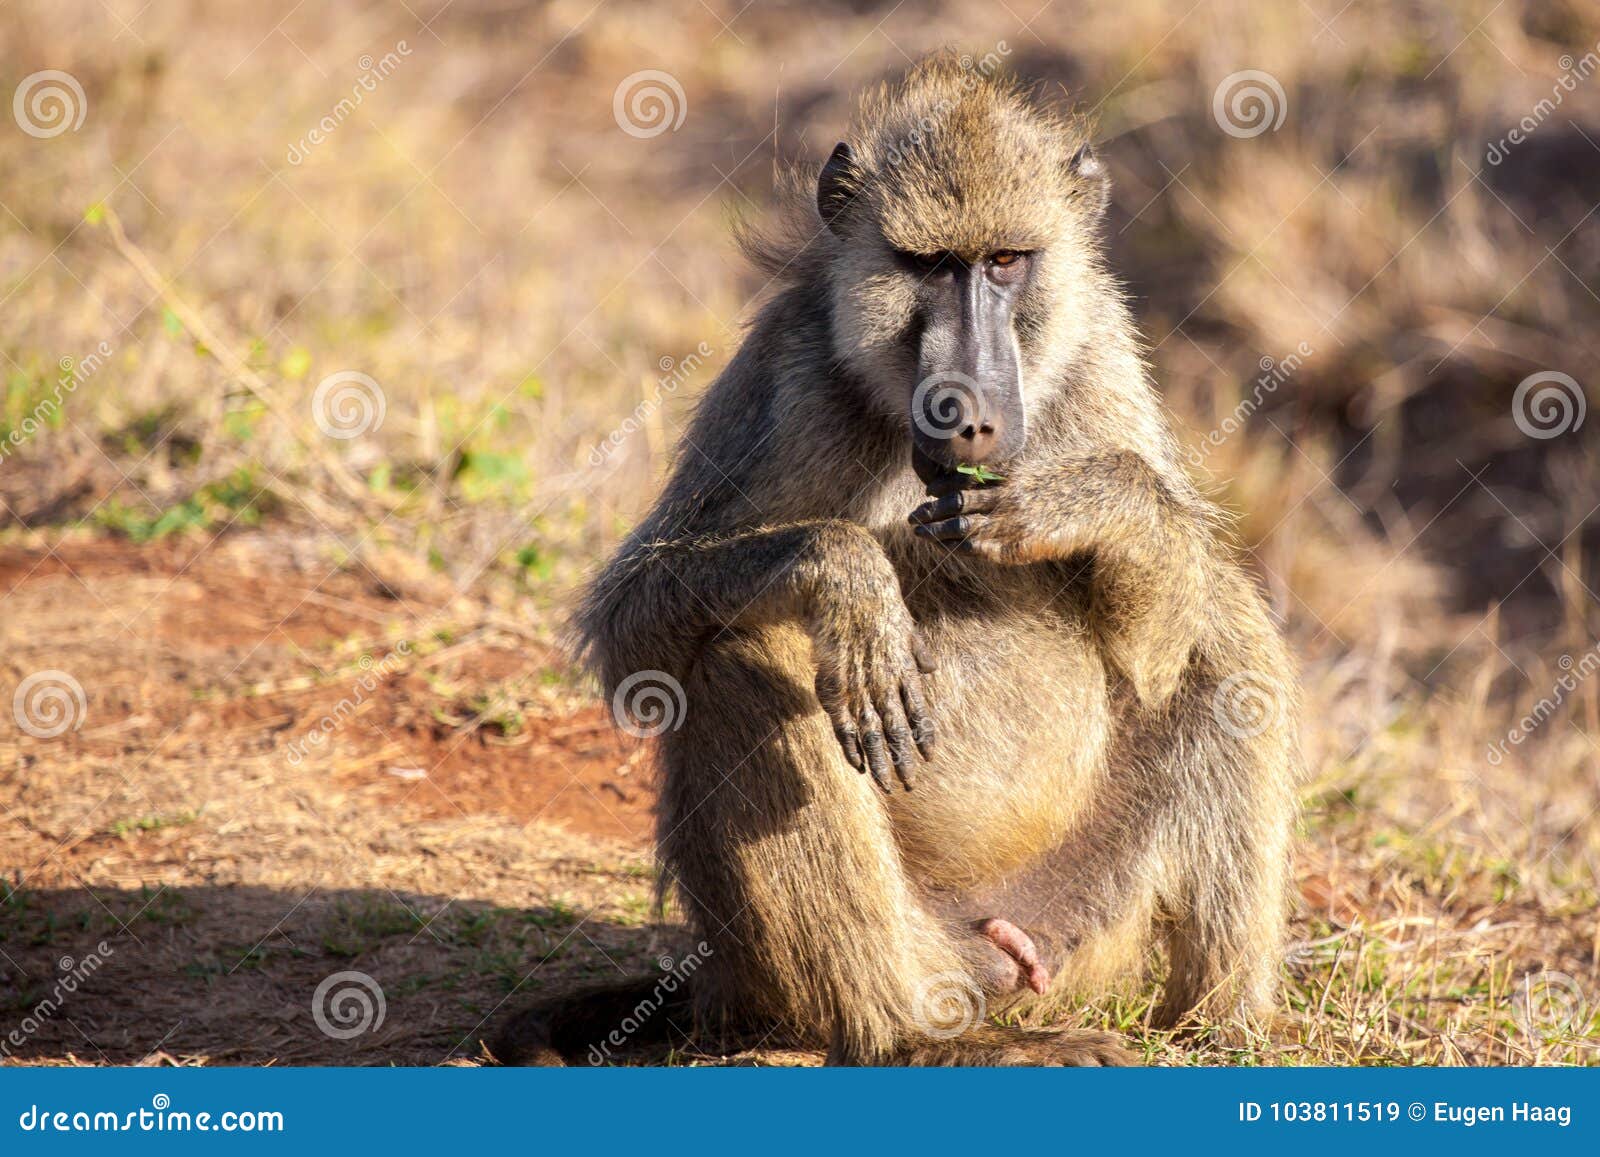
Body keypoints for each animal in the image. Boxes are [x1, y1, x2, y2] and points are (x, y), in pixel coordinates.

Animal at [493, 52, 1302, 1067]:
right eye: (929, 265)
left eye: (1004, 262)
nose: (967, 407)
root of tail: (996, 953)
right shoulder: (790, 375)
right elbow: (633, 629)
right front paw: (851, 586)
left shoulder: (1101, 356)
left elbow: (1151, 652)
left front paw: (1083, 502)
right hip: (878, 953)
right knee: (744, 664)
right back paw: (912, 1035)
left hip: (1085, 930)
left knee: (1228, 638)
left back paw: (1220, 1031)